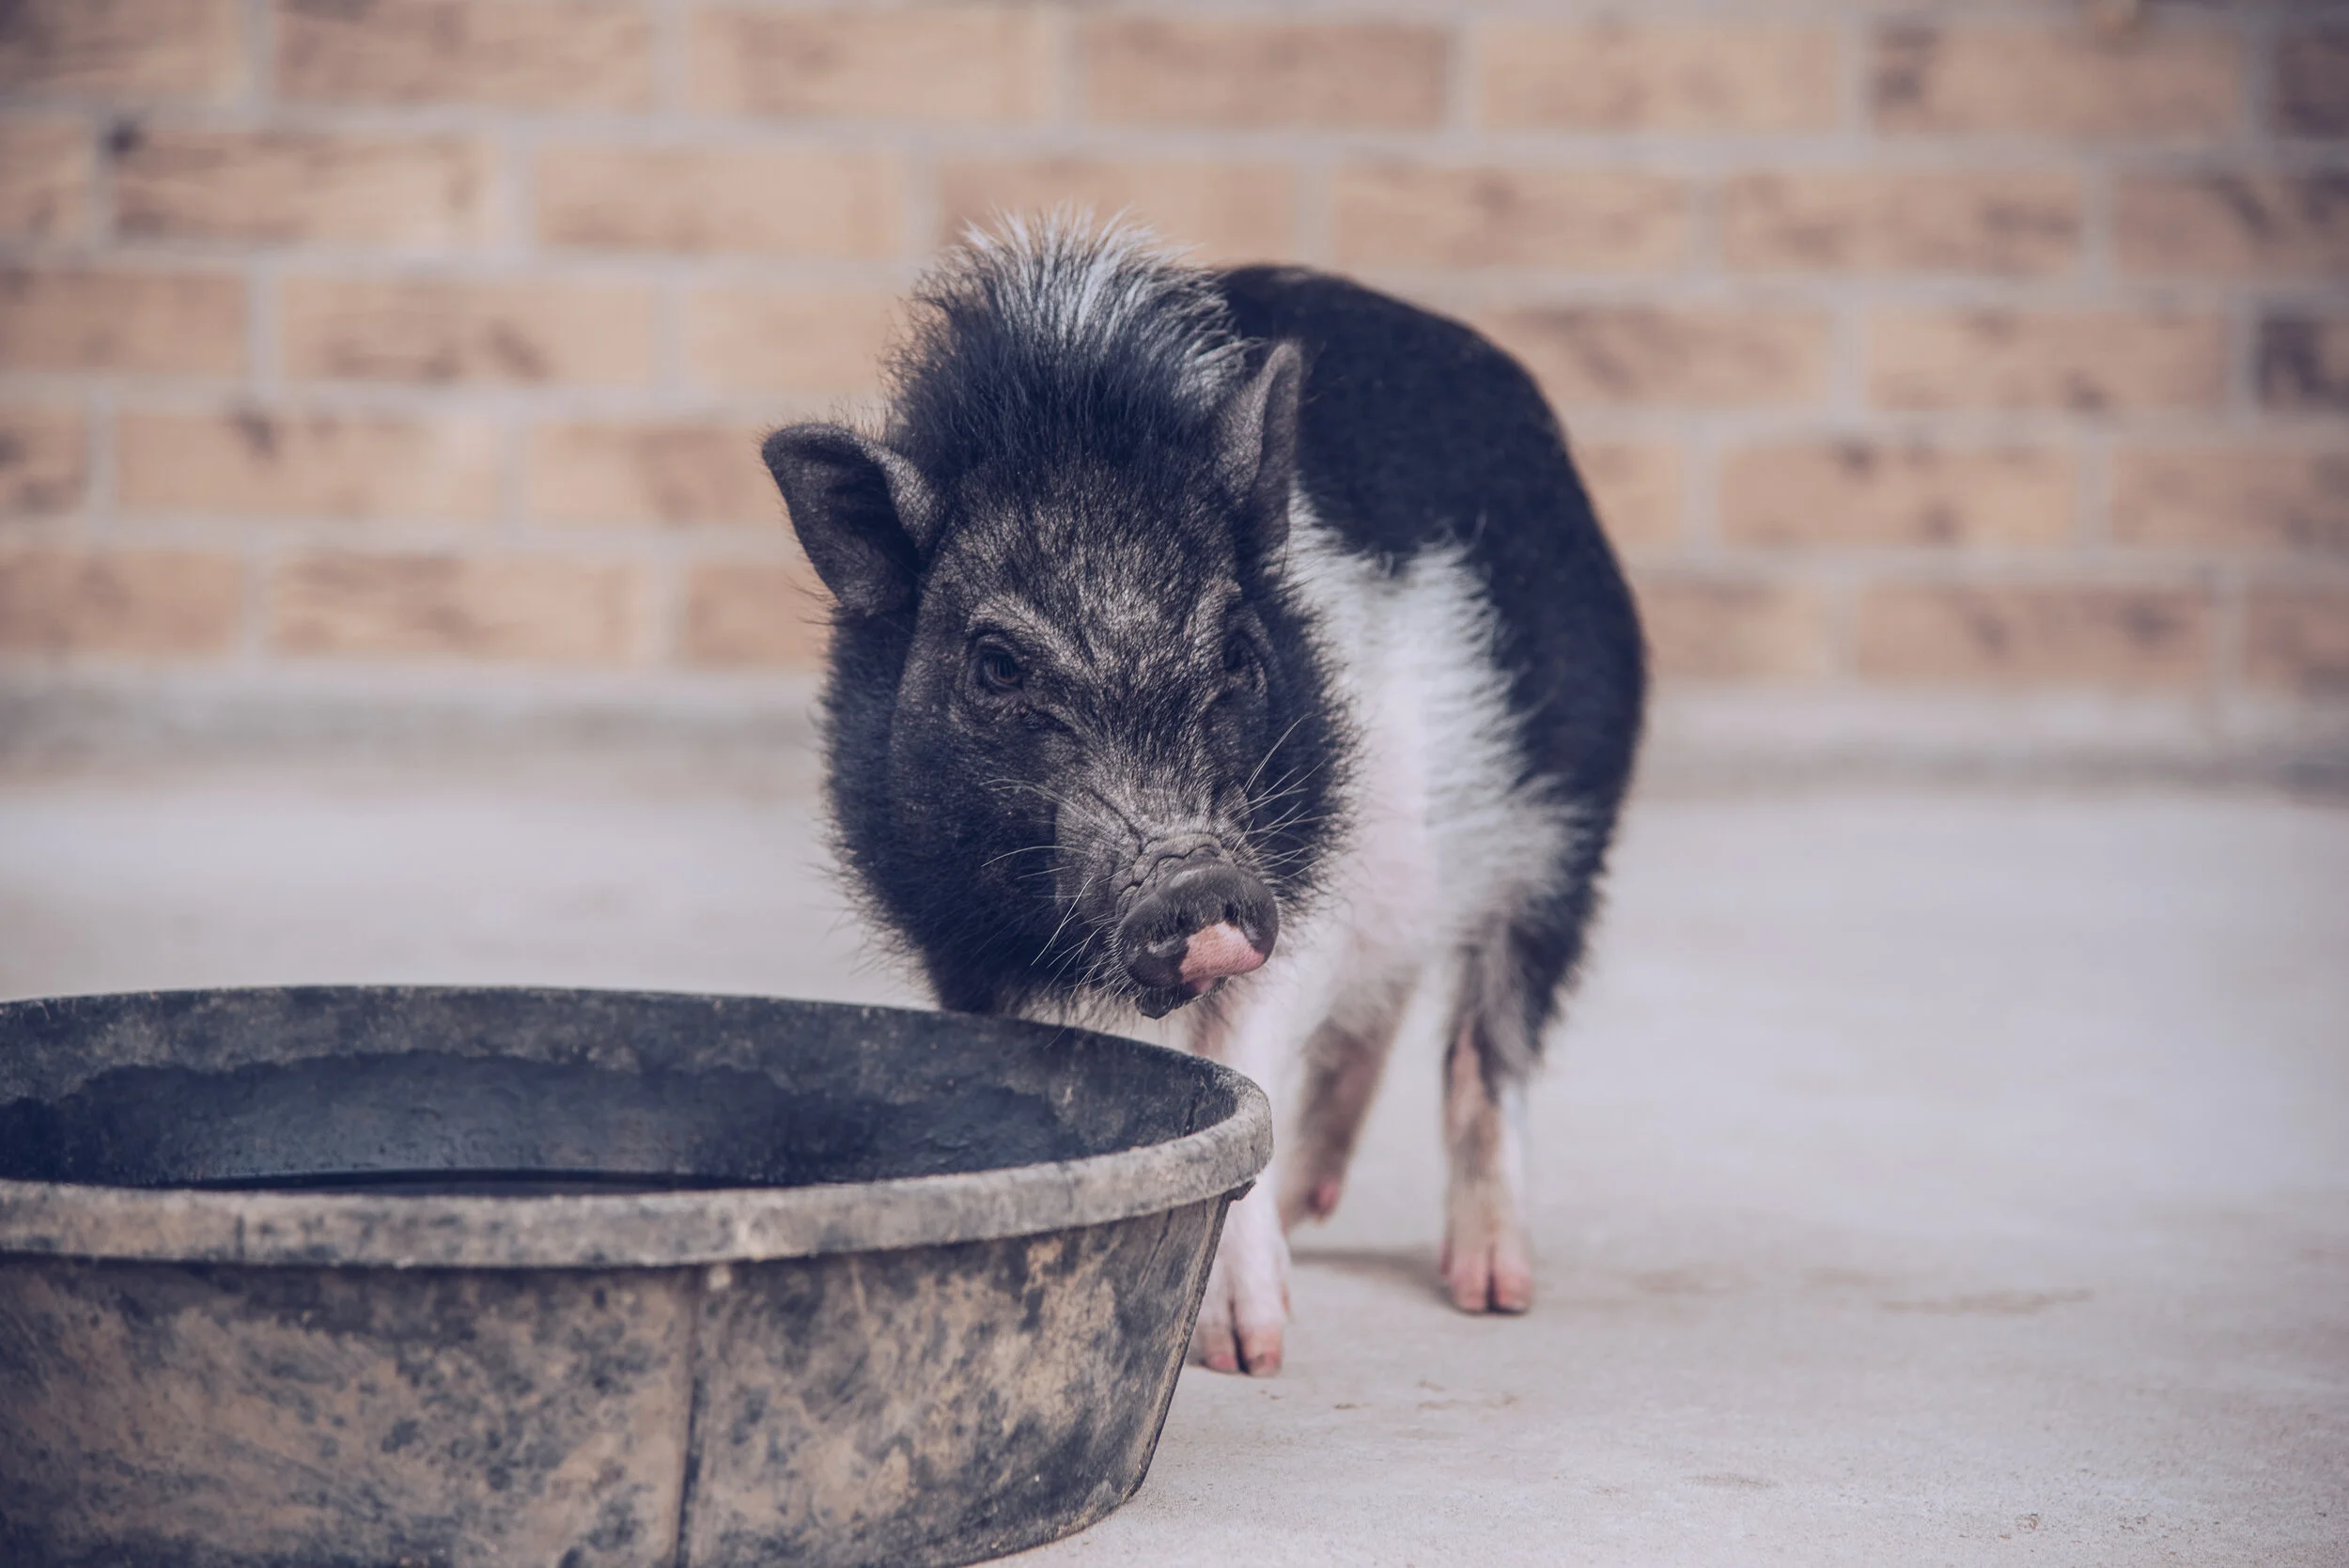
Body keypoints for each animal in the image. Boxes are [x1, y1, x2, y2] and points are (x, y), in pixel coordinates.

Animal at [761, 219, 1644, 1377]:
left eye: (1235, 649)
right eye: (996, 664)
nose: (1194, 881)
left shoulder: (1305, 881)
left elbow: (1244, 1058)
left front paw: (1249, 1354)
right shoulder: (957, 932)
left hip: (1567, 826)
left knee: (1488, 1034)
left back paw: (1492, 1291)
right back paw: (1317, 1208)